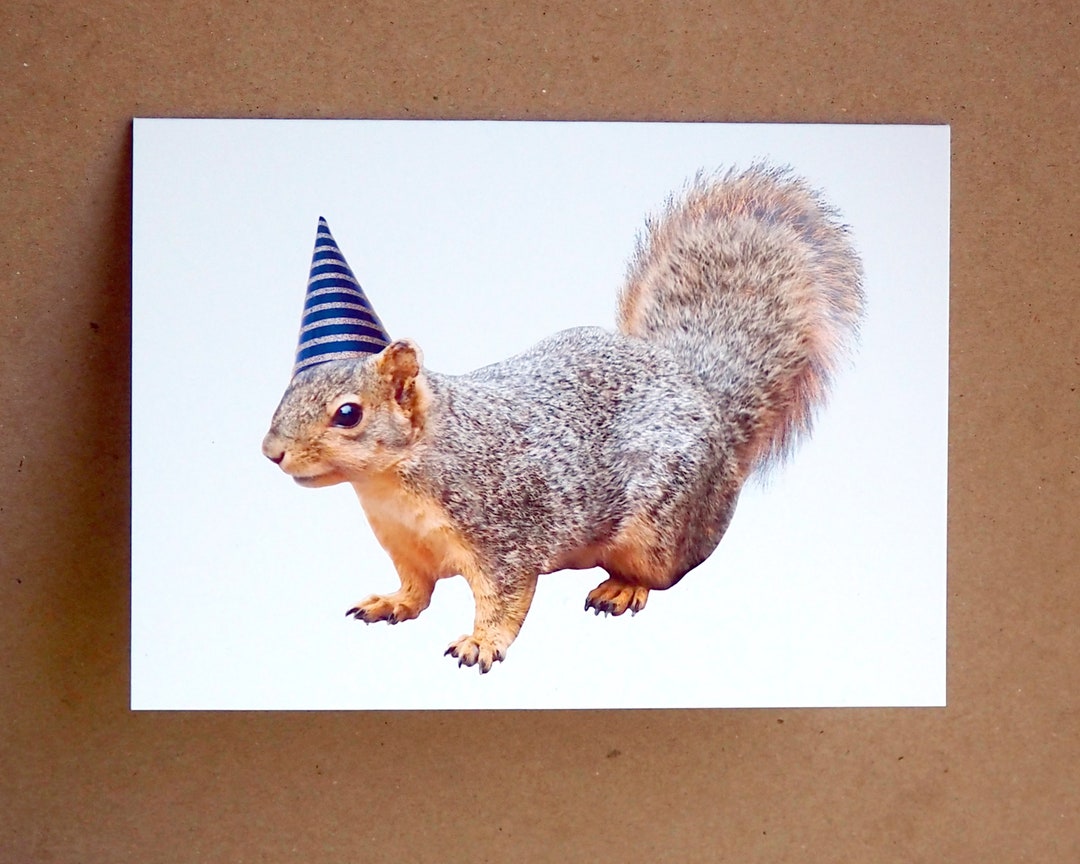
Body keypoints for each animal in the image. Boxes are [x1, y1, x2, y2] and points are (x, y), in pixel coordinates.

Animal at [262, 165, 865, 673]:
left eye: (348, 413)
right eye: (286, 391)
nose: (272, 452)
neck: (393, 483)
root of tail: (702, 396)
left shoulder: (504, 531)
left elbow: (505, 597)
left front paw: (481, 643)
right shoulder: (405, 544)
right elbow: (416, 588)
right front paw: (391, 602)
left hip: (662, 522)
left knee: (669, 570)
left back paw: (622, 587)